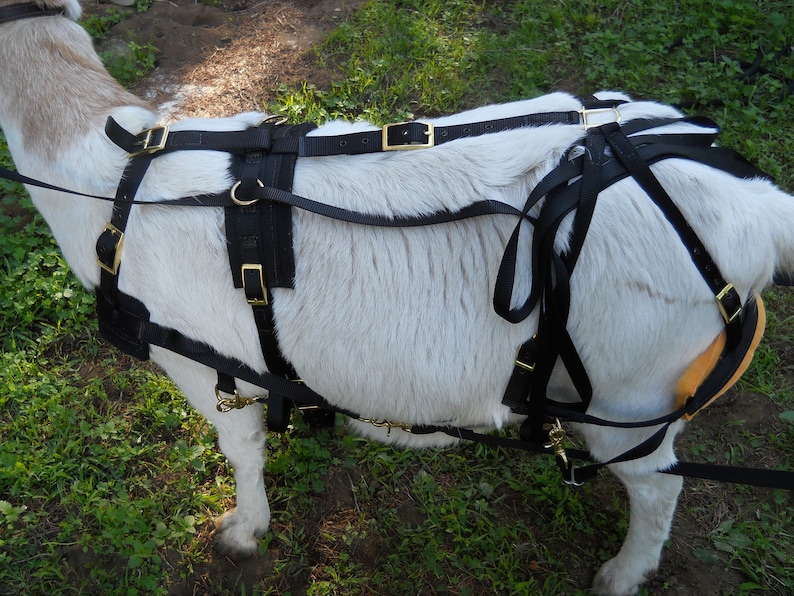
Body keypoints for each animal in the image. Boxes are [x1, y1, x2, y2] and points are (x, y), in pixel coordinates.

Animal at [2, 2, 792, 594]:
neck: (114, 174)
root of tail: (756, 208)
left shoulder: (201, 364)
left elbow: (241, 450)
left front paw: (244, 531)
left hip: (629, 393)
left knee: (658, 486)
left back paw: (622, 573)